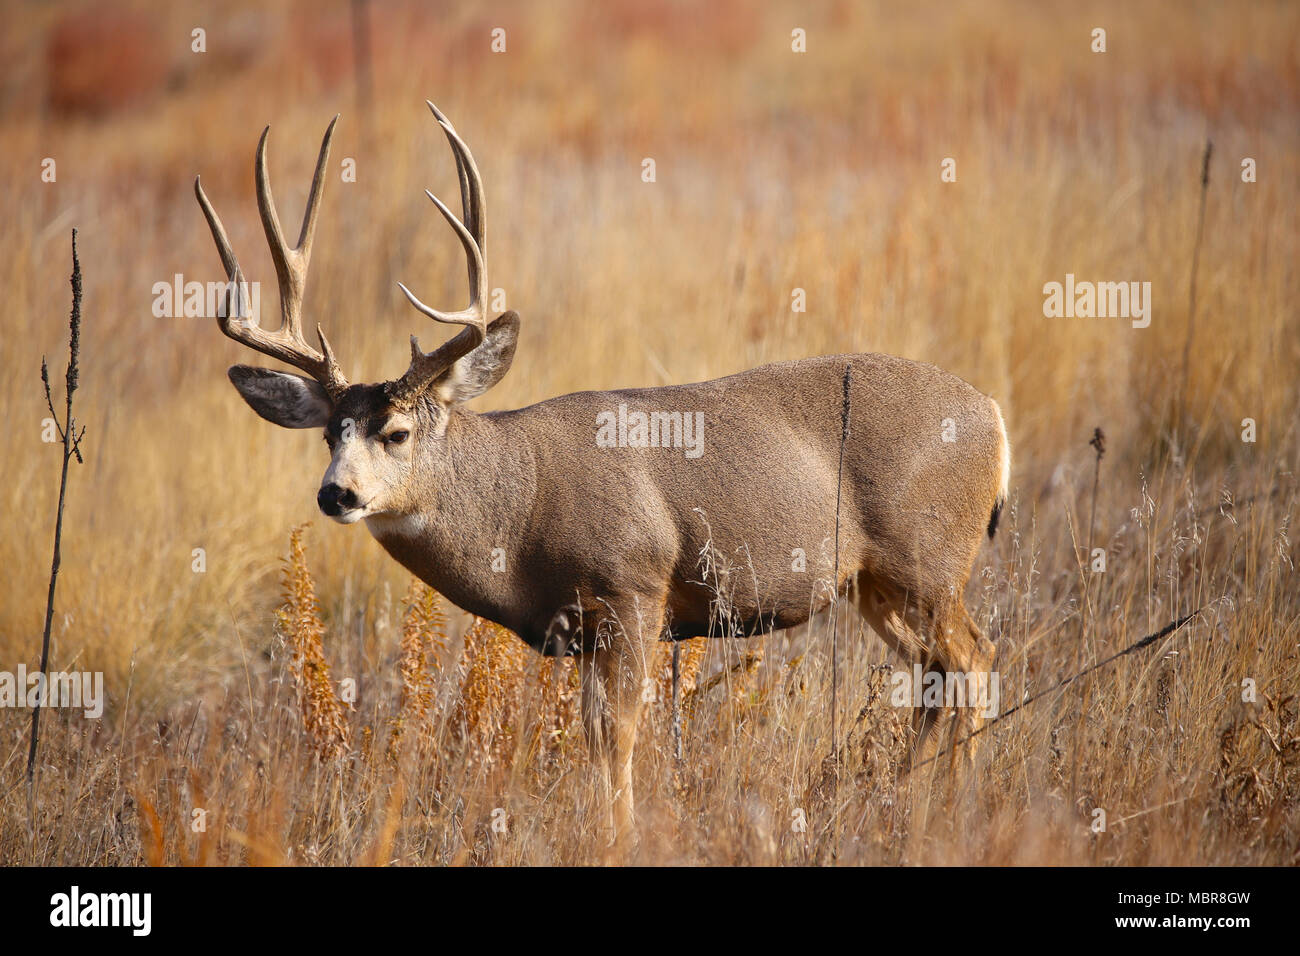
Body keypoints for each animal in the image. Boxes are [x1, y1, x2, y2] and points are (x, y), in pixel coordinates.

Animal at [194, 102, 1011, 847]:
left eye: (395, 433)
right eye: (329, 434)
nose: (337, 493)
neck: (520, 509)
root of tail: (994, 416)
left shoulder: (633, 586)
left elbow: (617, 734)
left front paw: (619, 838)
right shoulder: (583, 630)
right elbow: (589, 737)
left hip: (927, 559)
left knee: (974, 656)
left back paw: (957, 808)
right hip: (874, 582)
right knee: (935, 675)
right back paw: (905, 801)